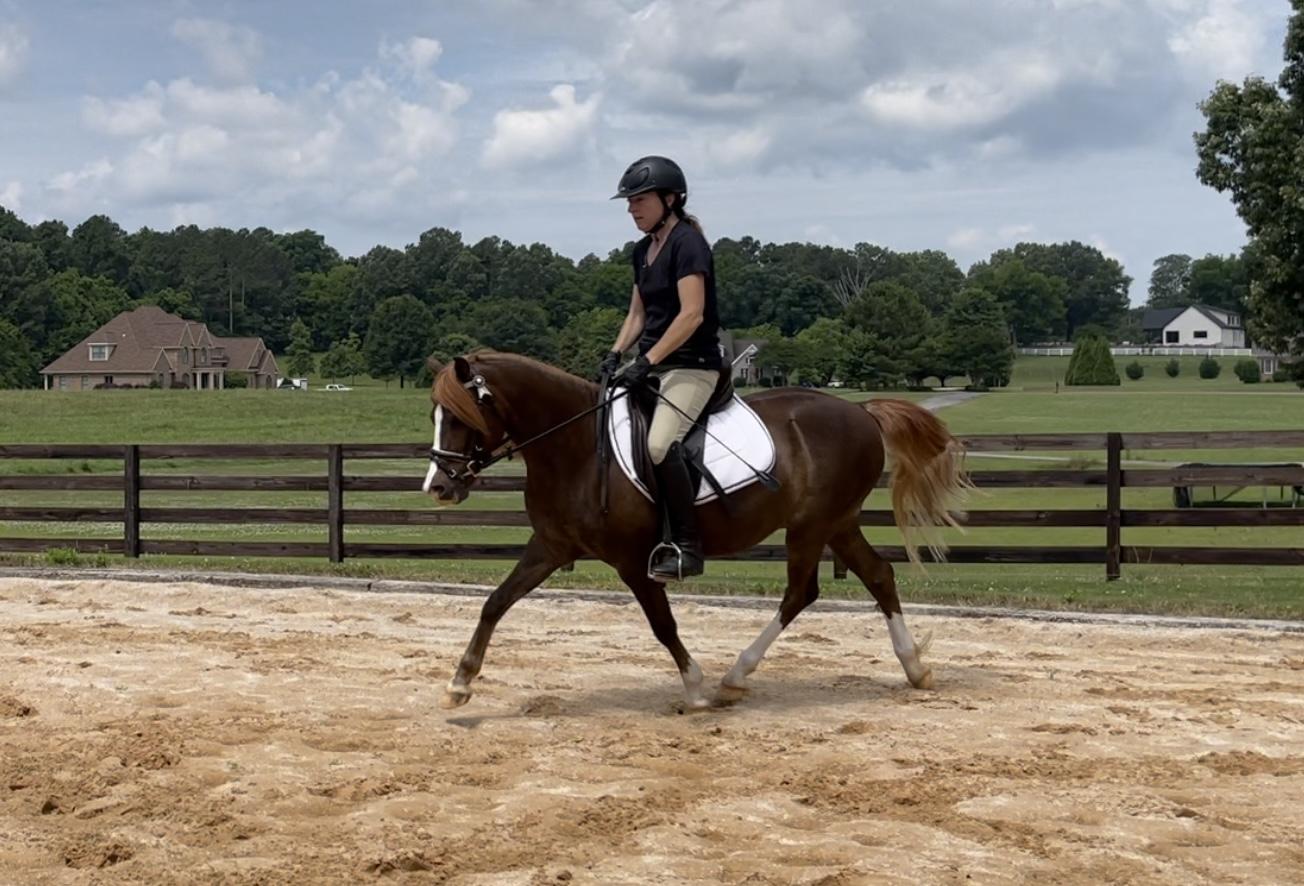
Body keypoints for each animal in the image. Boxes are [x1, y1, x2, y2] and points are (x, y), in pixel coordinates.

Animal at [423, 351, 969, 710]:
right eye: (435, 414)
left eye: (463, 415)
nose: (439, 486)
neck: (574, 446)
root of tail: (860, 410)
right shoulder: (551, 546)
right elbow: (496, 602)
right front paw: (460, 682)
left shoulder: (632, 561)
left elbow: (663, 625)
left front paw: (696, 688)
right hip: (837, 524)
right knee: (877, 576)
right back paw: (915, 668)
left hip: (814, 525)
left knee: (801, 592)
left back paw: (734, 675)